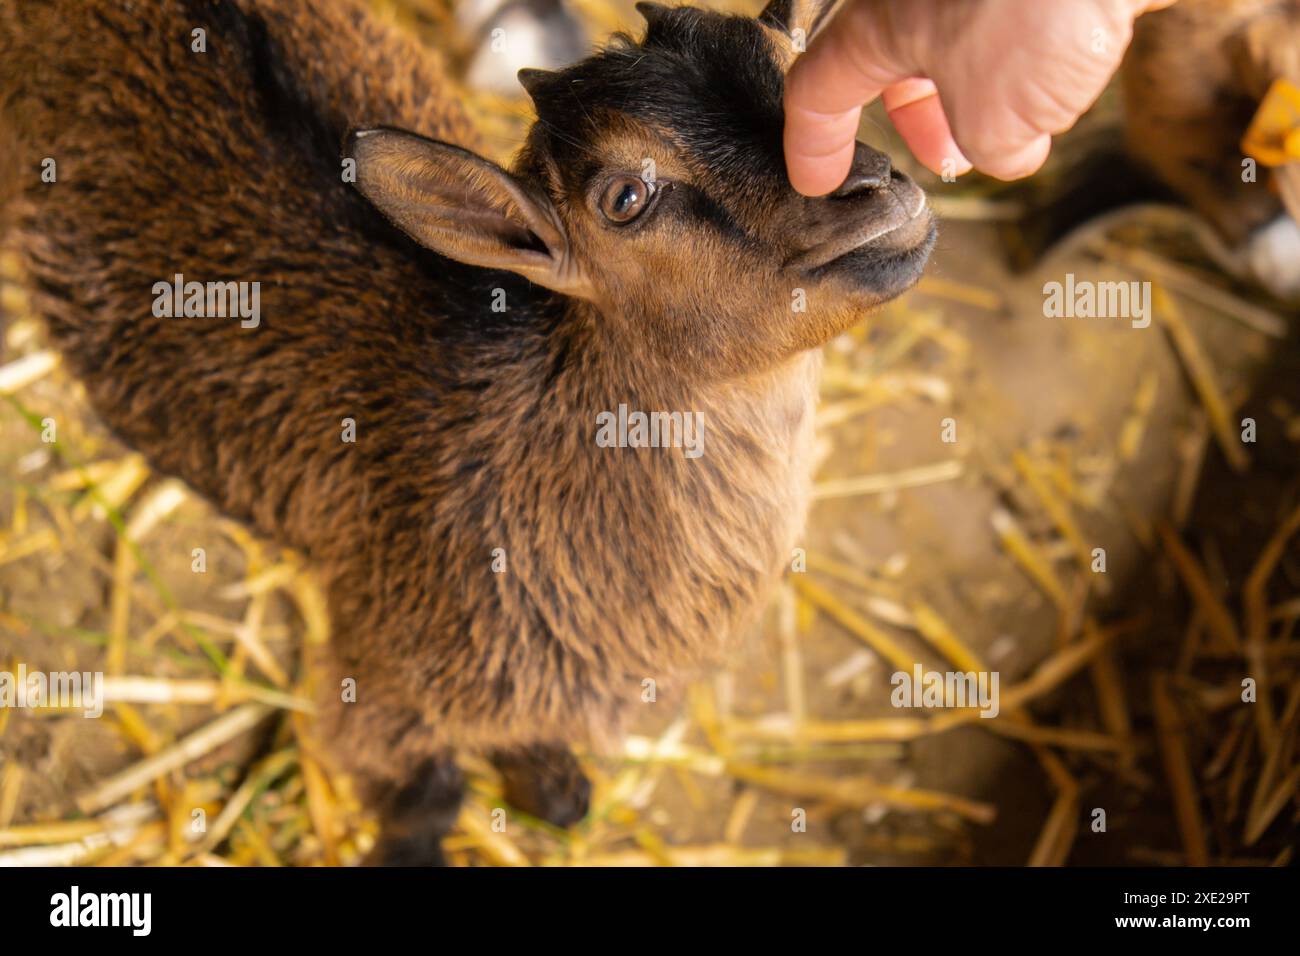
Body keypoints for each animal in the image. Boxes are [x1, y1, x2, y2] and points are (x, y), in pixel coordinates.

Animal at [0, 0, 934, 863]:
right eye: (624, 197)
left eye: (791, 60)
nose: (878, 192)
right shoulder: (380, 678)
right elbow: (429, 795)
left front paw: (548, 780)